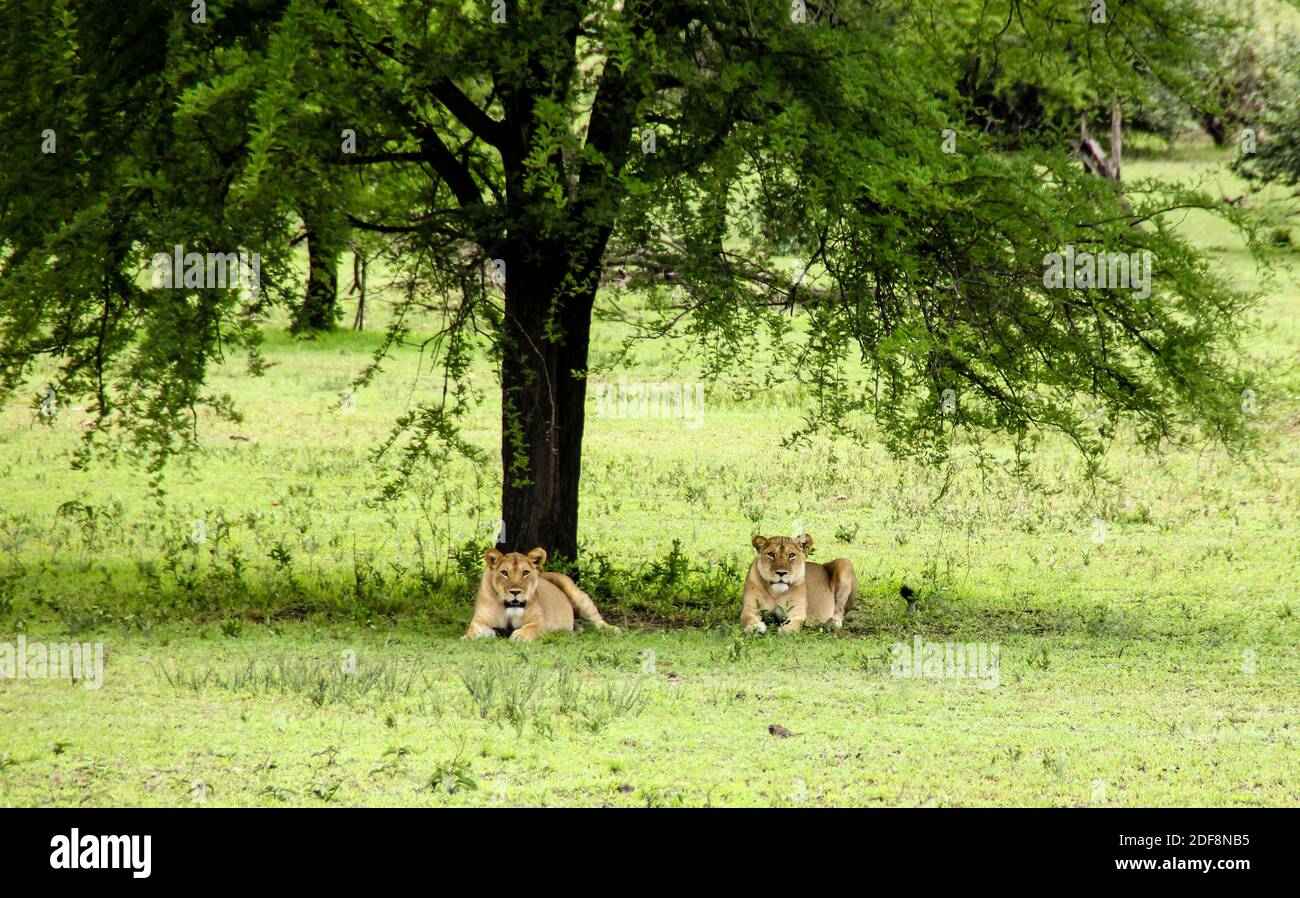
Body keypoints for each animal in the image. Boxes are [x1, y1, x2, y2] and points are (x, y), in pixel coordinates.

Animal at [464, 547, 616, 641]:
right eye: (504, 573)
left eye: (525, 573)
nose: (515, 592)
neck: (508, 607)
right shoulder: (479, 620)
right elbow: (473, 628)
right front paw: (468, 637)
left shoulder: (540, 622)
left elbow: (531, 628)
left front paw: (519, 636)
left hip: (576, 593)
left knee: (597, 619)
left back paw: (612, 629)